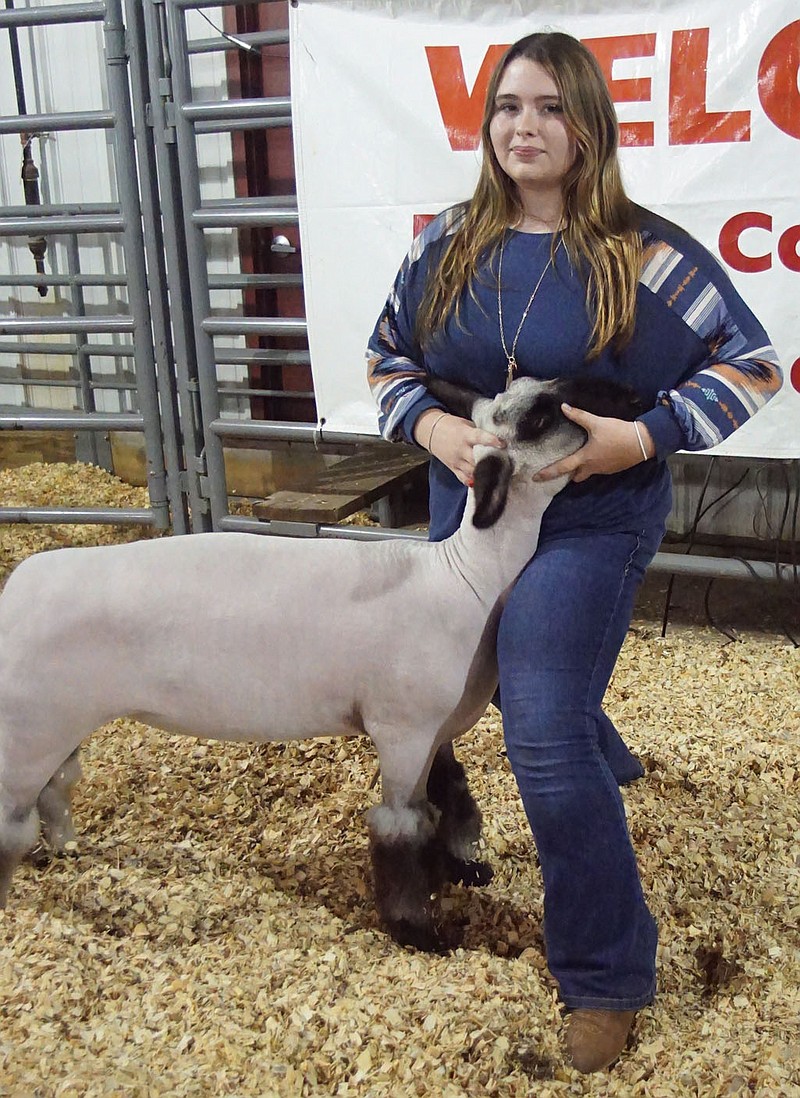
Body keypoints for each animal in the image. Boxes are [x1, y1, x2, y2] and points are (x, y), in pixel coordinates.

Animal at [0, 375, 644, 950]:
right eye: (538, 418)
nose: (630, 398)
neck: (466, 579)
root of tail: (19, 586)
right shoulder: (402, 731)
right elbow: (403, 826)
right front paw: (416, 930)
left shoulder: (436, 731)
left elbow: (449, 798)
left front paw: (464, 870)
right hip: (29, 731)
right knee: (15, 817)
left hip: (56, 727)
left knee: (55, 791)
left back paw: (68, 851)